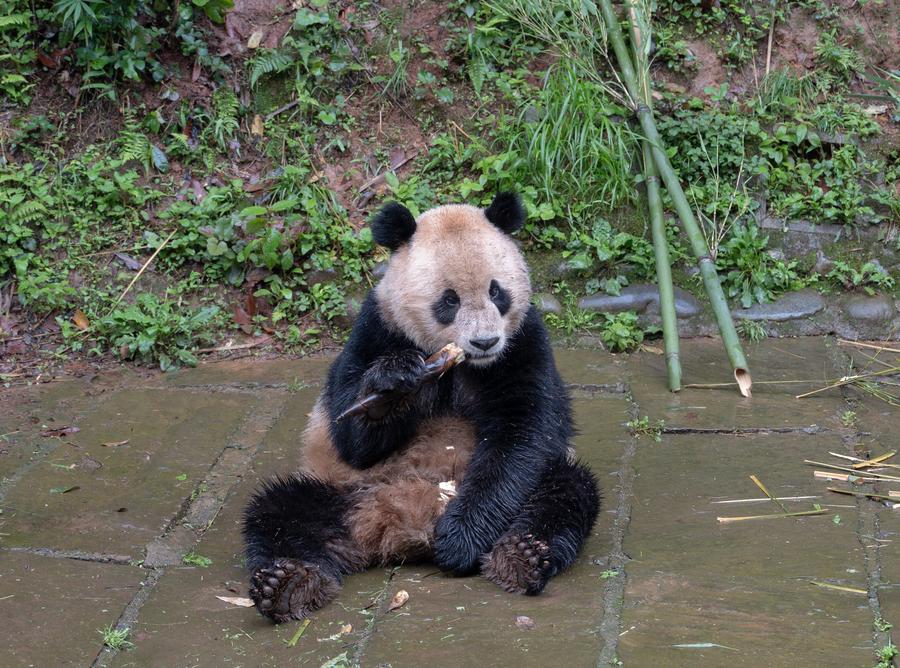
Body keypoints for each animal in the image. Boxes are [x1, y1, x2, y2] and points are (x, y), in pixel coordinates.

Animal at [243, 193, 600, 623]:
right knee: (279, 512)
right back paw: (289, 585)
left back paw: (522, 556)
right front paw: (391, 387)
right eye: (449, 300)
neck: (458, 363)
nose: (485, 341)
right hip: (343, 491)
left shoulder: (523, 343)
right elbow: (350, 434)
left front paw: (461, 540)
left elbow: (523, 433)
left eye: (497, 292)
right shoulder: (377, 328)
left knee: (565, 493)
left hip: (536, 486)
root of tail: (402, 524)